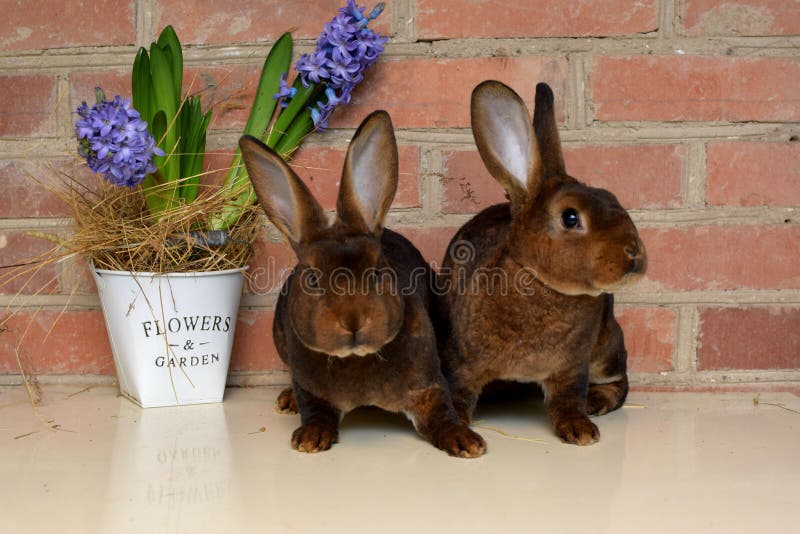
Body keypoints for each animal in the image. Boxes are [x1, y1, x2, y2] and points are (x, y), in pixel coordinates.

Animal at [239, 110, 486, 458]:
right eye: (311, 277)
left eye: (378, 271)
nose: (353, 321)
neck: (356, 358)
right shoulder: (311, 391)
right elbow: (316, 412)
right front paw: (309, 440)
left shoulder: (427, 387)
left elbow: (442, 414)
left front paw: (466, 442)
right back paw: (286, 400)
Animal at [437, 81, 647, 446]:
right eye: (570, 217)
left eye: (613, 198)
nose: (634, 253)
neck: (537, 280)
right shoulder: (462, 361)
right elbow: (458, 394)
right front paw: (461, 434)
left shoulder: (572, 367)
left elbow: (568, 398)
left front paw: (581, 431)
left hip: (607, 344)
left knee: (619, 382)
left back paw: (596, 402)